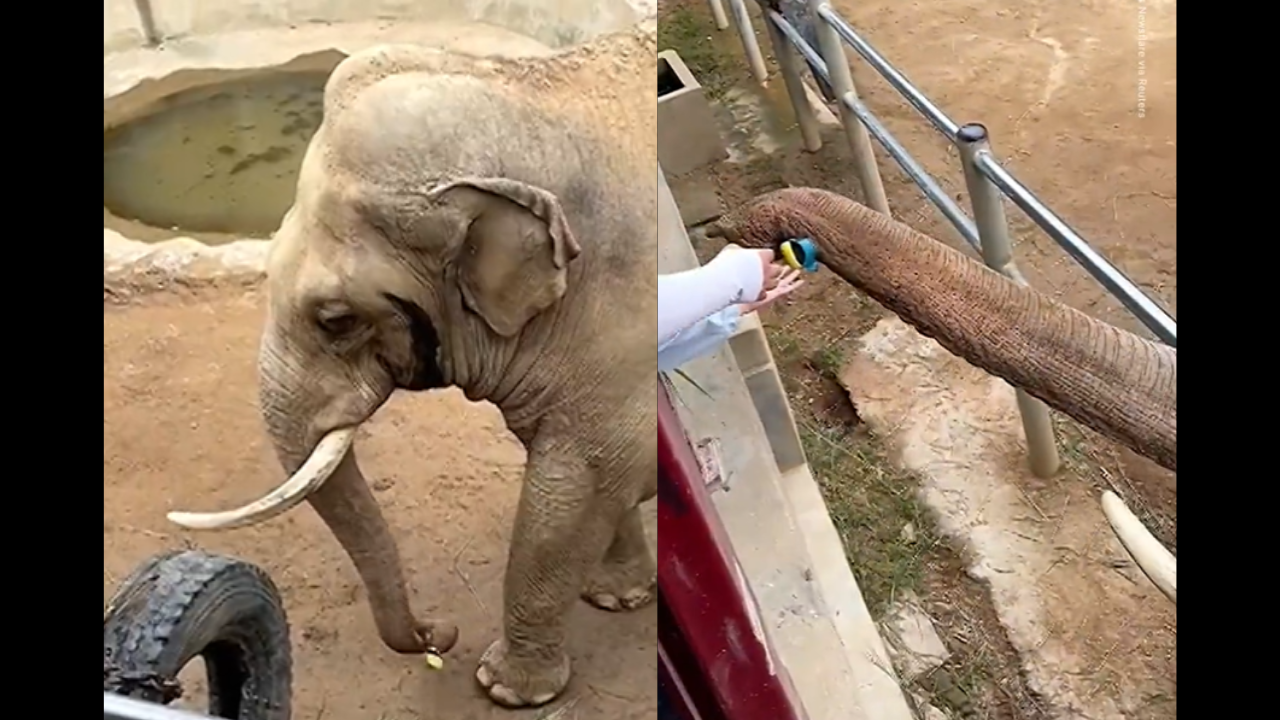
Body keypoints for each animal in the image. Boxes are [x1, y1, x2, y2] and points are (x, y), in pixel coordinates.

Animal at [166, 41, 658, 709]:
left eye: (336, 319)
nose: (438, 633)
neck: (530, 87)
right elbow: (607, 470)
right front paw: (613, 597)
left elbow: (576, 482)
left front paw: (506, 690)